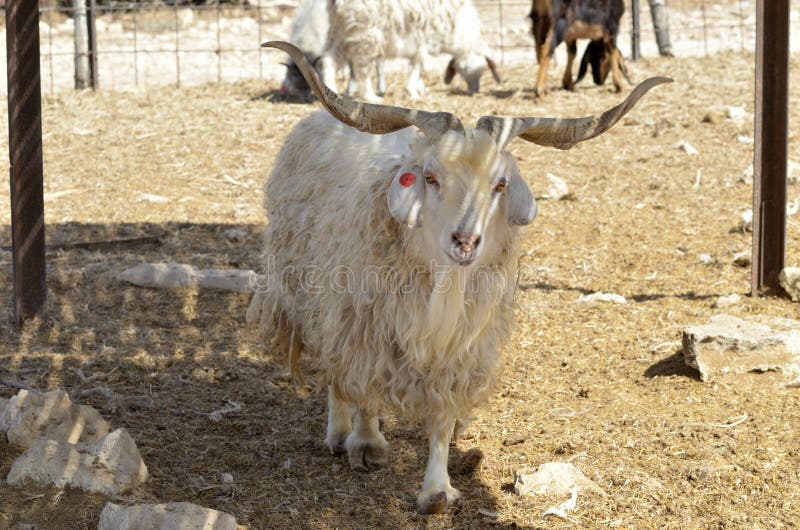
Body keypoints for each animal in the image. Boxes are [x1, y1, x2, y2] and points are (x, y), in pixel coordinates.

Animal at [252, 40, 669, 514]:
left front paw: (437, 490)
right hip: (312, 295)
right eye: (431, 177)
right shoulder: (363, 321)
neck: (443, 287)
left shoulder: (462, 345)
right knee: (336, 369)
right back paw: (340, 432)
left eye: (500, 184)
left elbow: (444, 416)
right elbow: (365, 384)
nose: (465, 241)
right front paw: (367, 441)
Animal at [325, 0, 501, 102]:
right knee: (362, 69)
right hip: (365, 34)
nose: (475, 90)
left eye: (483, 69)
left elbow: (417, 67)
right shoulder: (425, 41)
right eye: (463, 69)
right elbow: (418, 67)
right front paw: (414, 92)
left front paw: (420, 89)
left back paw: (331, 91)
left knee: (329, 60)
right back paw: (371, 97)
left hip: (340, 31)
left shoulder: (419, 43)